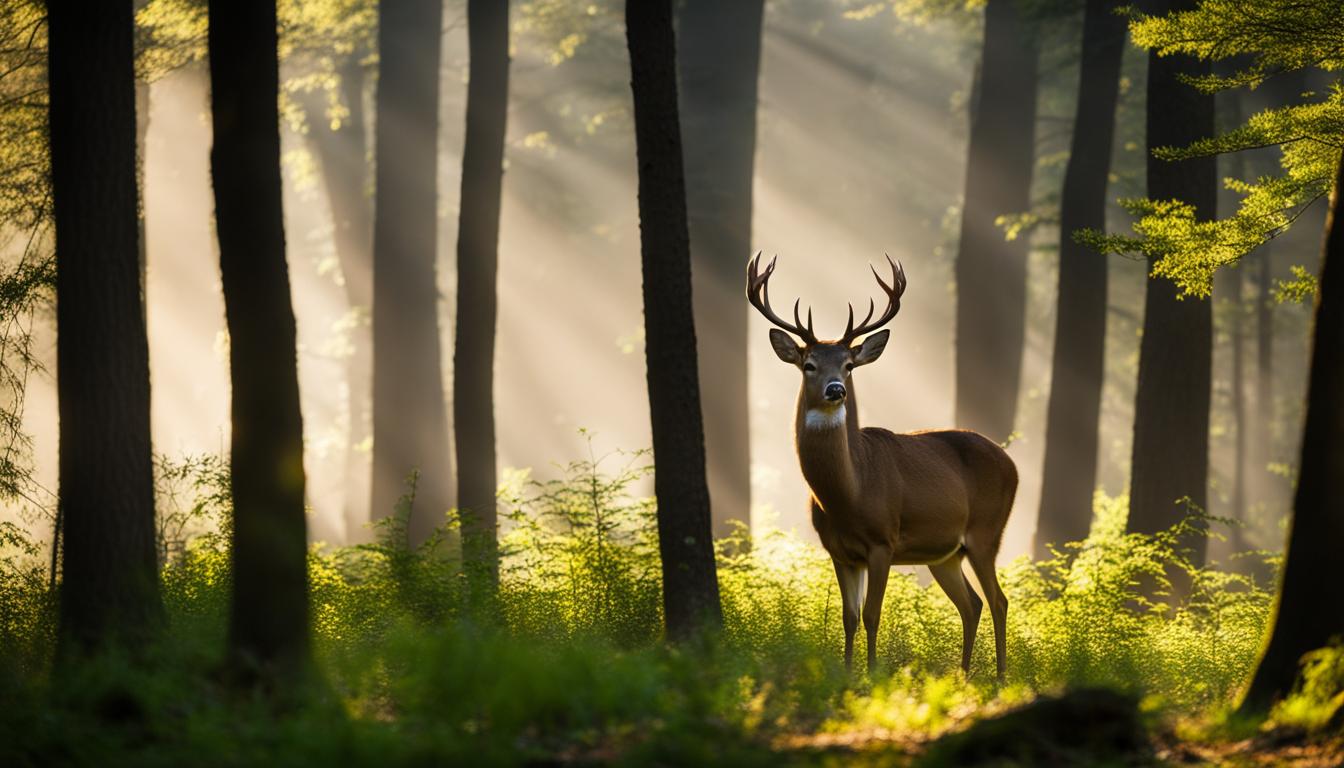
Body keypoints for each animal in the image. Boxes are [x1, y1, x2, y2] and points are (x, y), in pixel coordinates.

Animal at [746, 253, 1017, 680]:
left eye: (849, 364)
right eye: (808, 364)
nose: (835, 390)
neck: (849, 494)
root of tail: (1012, 463)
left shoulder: (883, 542)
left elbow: (873, 615)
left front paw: (873, 675)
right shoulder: (838, 551)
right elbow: (848, 617)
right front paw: (846, 674)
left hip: (986, 531)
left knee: (999, 600)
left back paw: (1001, 677)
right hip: (945, 553)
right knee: (971, 603)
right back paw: (962, 675)